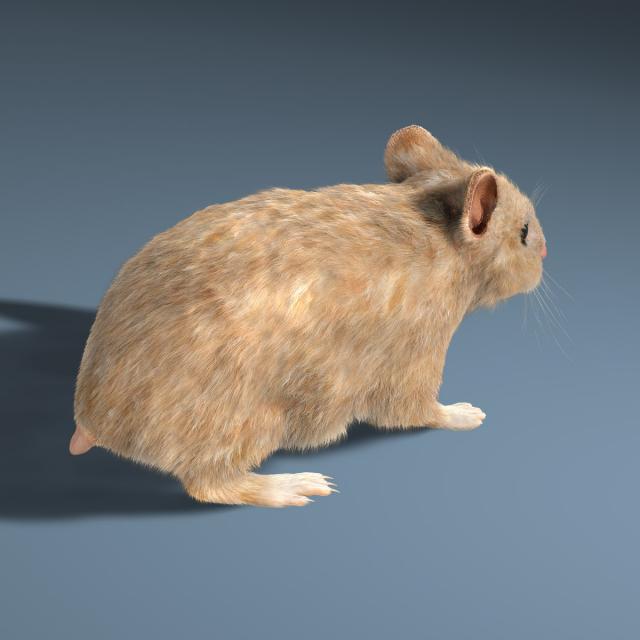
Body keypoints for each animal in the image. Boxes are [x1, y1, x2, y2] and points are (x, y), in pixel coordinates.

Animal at [71, 124, 547, 508]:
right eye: (524, 232)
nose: (546, 252)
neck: (441, 234)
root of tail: (93, 421)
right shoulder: (417, 354)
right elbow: (419, 409)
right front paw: (464, 413)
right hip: (248, 422)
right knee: (208, 484)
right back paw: (291, 486)